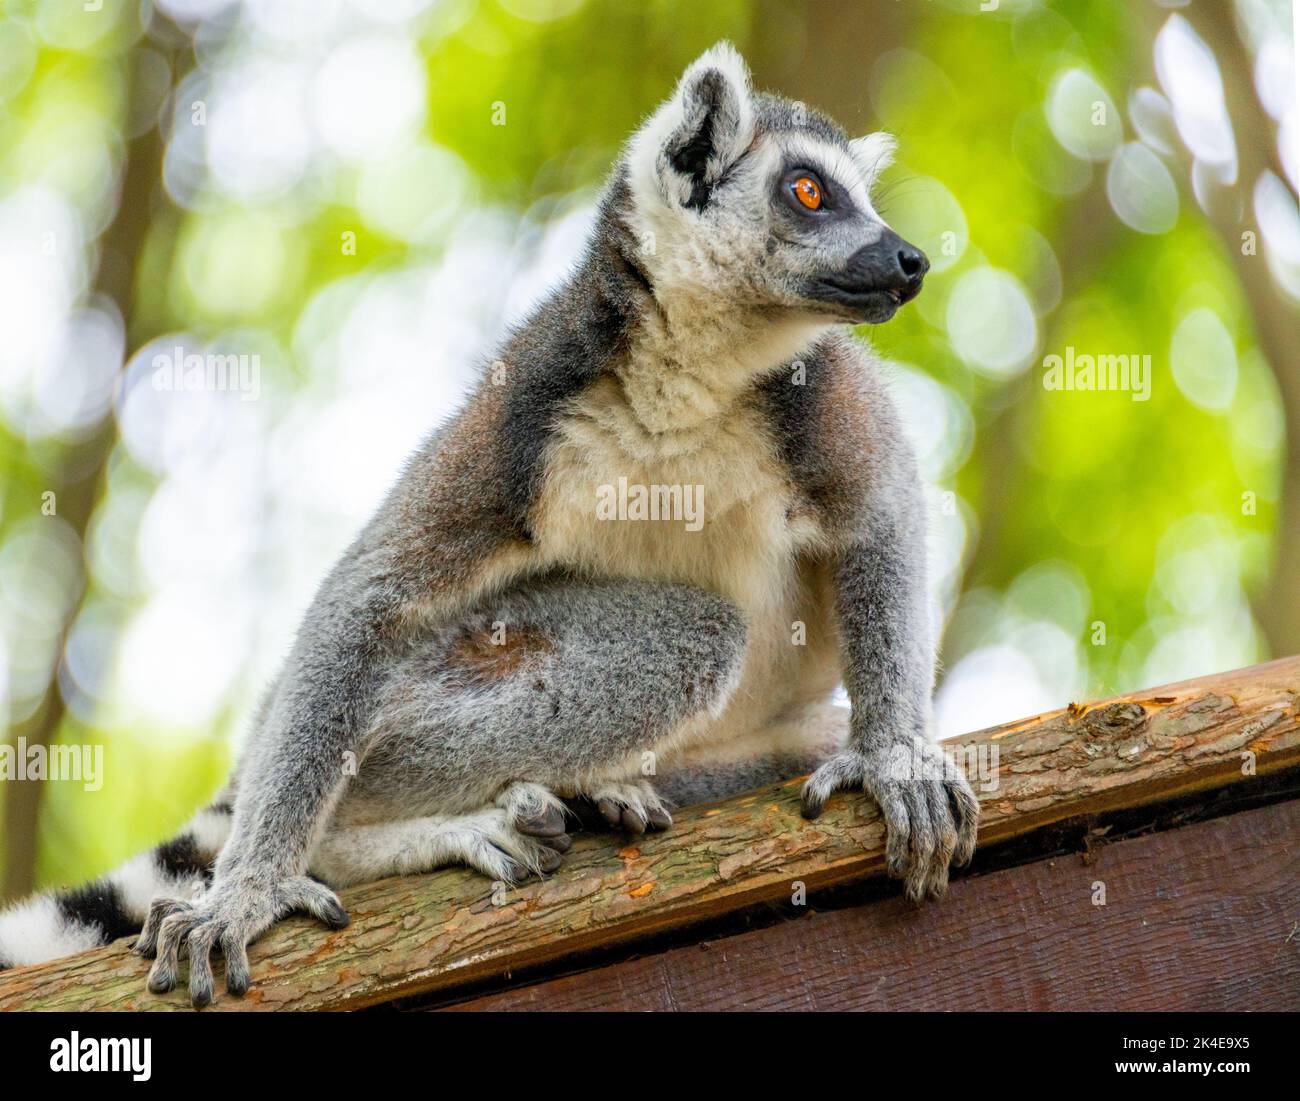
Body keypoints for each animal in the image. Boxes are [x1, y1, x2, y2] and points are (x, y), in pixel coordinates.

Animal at [0, 42, 977, 1006]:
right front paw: (249, 891)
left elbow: (882, 511)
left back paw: (605, 791)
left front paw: (894, 759)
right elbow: (372, 595)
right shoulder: (524, 403)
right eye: (808, 191)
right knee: (694, 632)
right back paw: (410, 832)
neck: (696, 368)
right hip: (444, 665)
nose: (909, 260)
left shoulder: (826, 392)